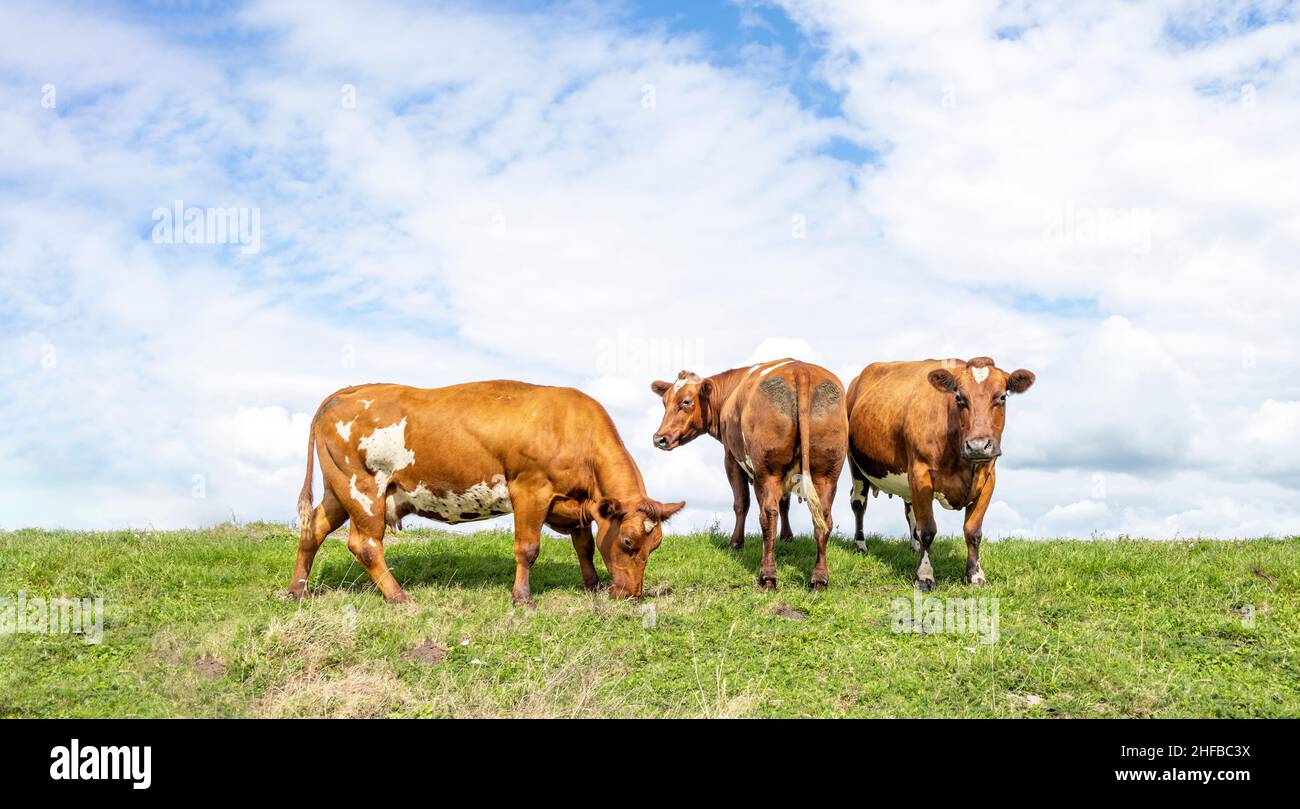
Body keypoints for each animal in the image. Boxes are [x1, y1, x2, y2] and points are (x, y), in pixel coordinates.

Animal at [292, 381, 685, 606]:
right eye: (629, 542)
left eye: (655, 545)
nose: (632, 594)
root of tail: (349, 391)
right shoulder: (530, 490)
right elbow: (528, 549)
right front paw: (522, 598)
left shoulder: (577, 503)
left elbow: (585, 546)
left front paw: (593, 586)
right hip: (362, 488)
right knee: (366, 544)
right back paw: (398, 595)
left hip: (337, 490)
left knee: (313, 529)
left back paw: (299, 589)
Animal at [650, 359, 848, 591]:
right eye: (664, 402)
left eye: (686, 402)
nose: (659, 438)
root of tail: (801, 369)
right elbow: (785, 503)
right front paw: (787, 537)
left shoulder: (731, 458)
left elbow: (741, 503)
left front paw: (736, 542)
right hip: (827, 474)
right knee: (823, 518)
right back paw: (819, 578)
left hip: (768, 470)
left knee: (768, 514)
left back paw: (768, 576)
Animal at [845, 357, 1036, 591]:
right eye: (959, 397)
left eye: (1002, 397)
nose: (978, 446)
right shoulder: (921, 473)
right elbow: (927, 530)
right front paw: (924, 576)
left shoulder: (988, 478)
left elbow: (973, 531)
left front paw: (975, 575)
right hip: (856, 464)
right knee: (858, 503)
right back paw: (860, 545)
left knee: (910, 511)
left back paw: (913, 546)